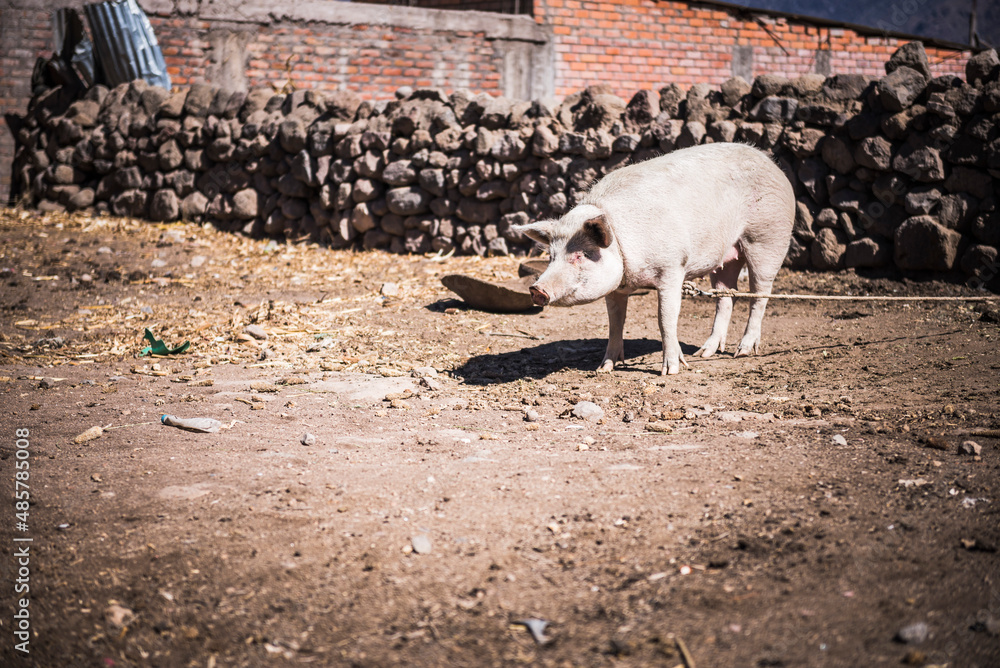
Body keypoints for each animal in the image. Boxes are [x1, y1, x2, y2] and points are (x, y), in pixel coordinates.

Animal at [513, 142, 795, 376]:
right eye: (551, 256)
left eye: (581, 255)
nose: (537, 289)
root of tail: (773, 165)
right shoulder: (616, 287)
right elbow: (615, 323)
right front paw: (604, 368)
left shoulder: (672, 268)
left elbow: (665, 319)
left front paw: (670, 371)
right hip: (726, 258)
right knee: (726, 297)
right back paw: (705, 353)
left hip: (768, 238)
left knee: (760, 294)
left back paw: (742, 351)